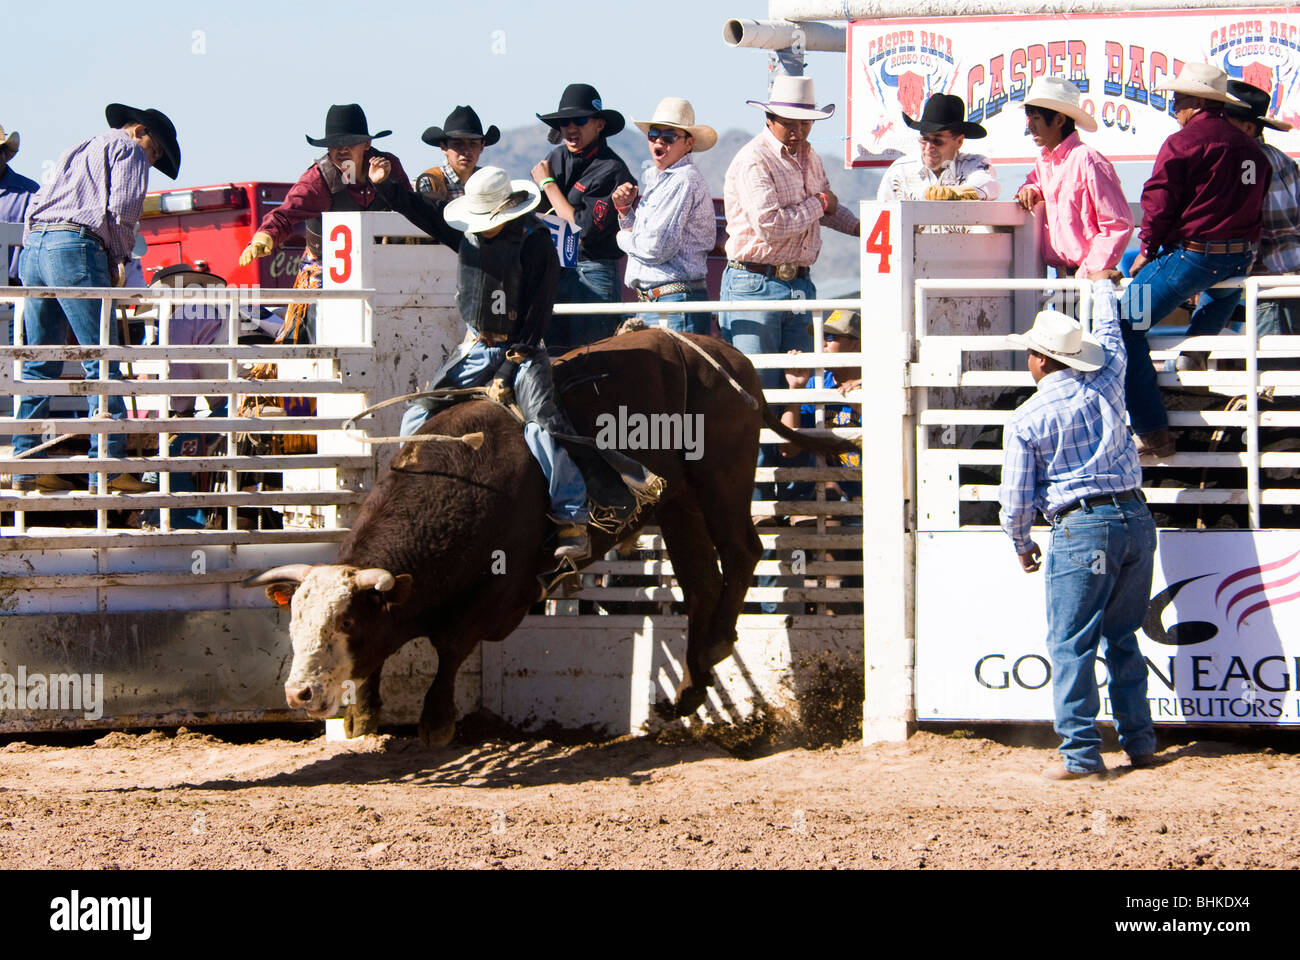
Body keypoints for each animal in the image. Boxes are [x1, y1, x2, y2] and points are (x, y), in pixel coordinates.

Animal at [245, 329, 857, 745]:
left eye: (346, 623)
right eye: (296, 620)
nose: (299, 693)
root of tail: (728, 358)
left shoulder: (506, 587)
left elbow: (452, 643)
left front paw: (436, 720)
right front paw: (366, 711)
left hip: (722, 474)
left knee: (741, 551)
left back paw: (716, 646)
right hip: (679, 501)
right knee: (702, 584)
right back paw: (689, 689)